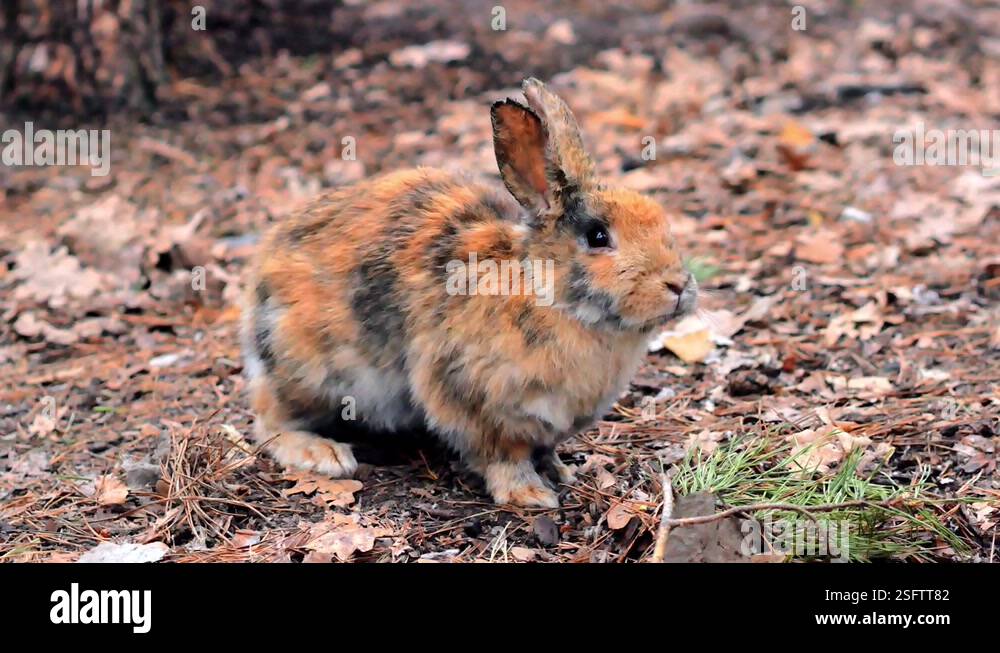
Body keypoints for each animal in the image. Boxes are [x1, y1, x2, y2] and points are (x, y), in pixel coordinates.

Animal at [241, 78, 697, 507]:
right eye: (598, 236)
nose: (678, 285)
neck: (548, 295)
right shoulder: (474, 402)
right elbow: (503, 457)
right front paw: (530, 494)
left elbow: (544, 451)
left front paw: (562, 472)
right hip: (310, 372)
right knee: (270, 418)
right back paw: (322, 454)